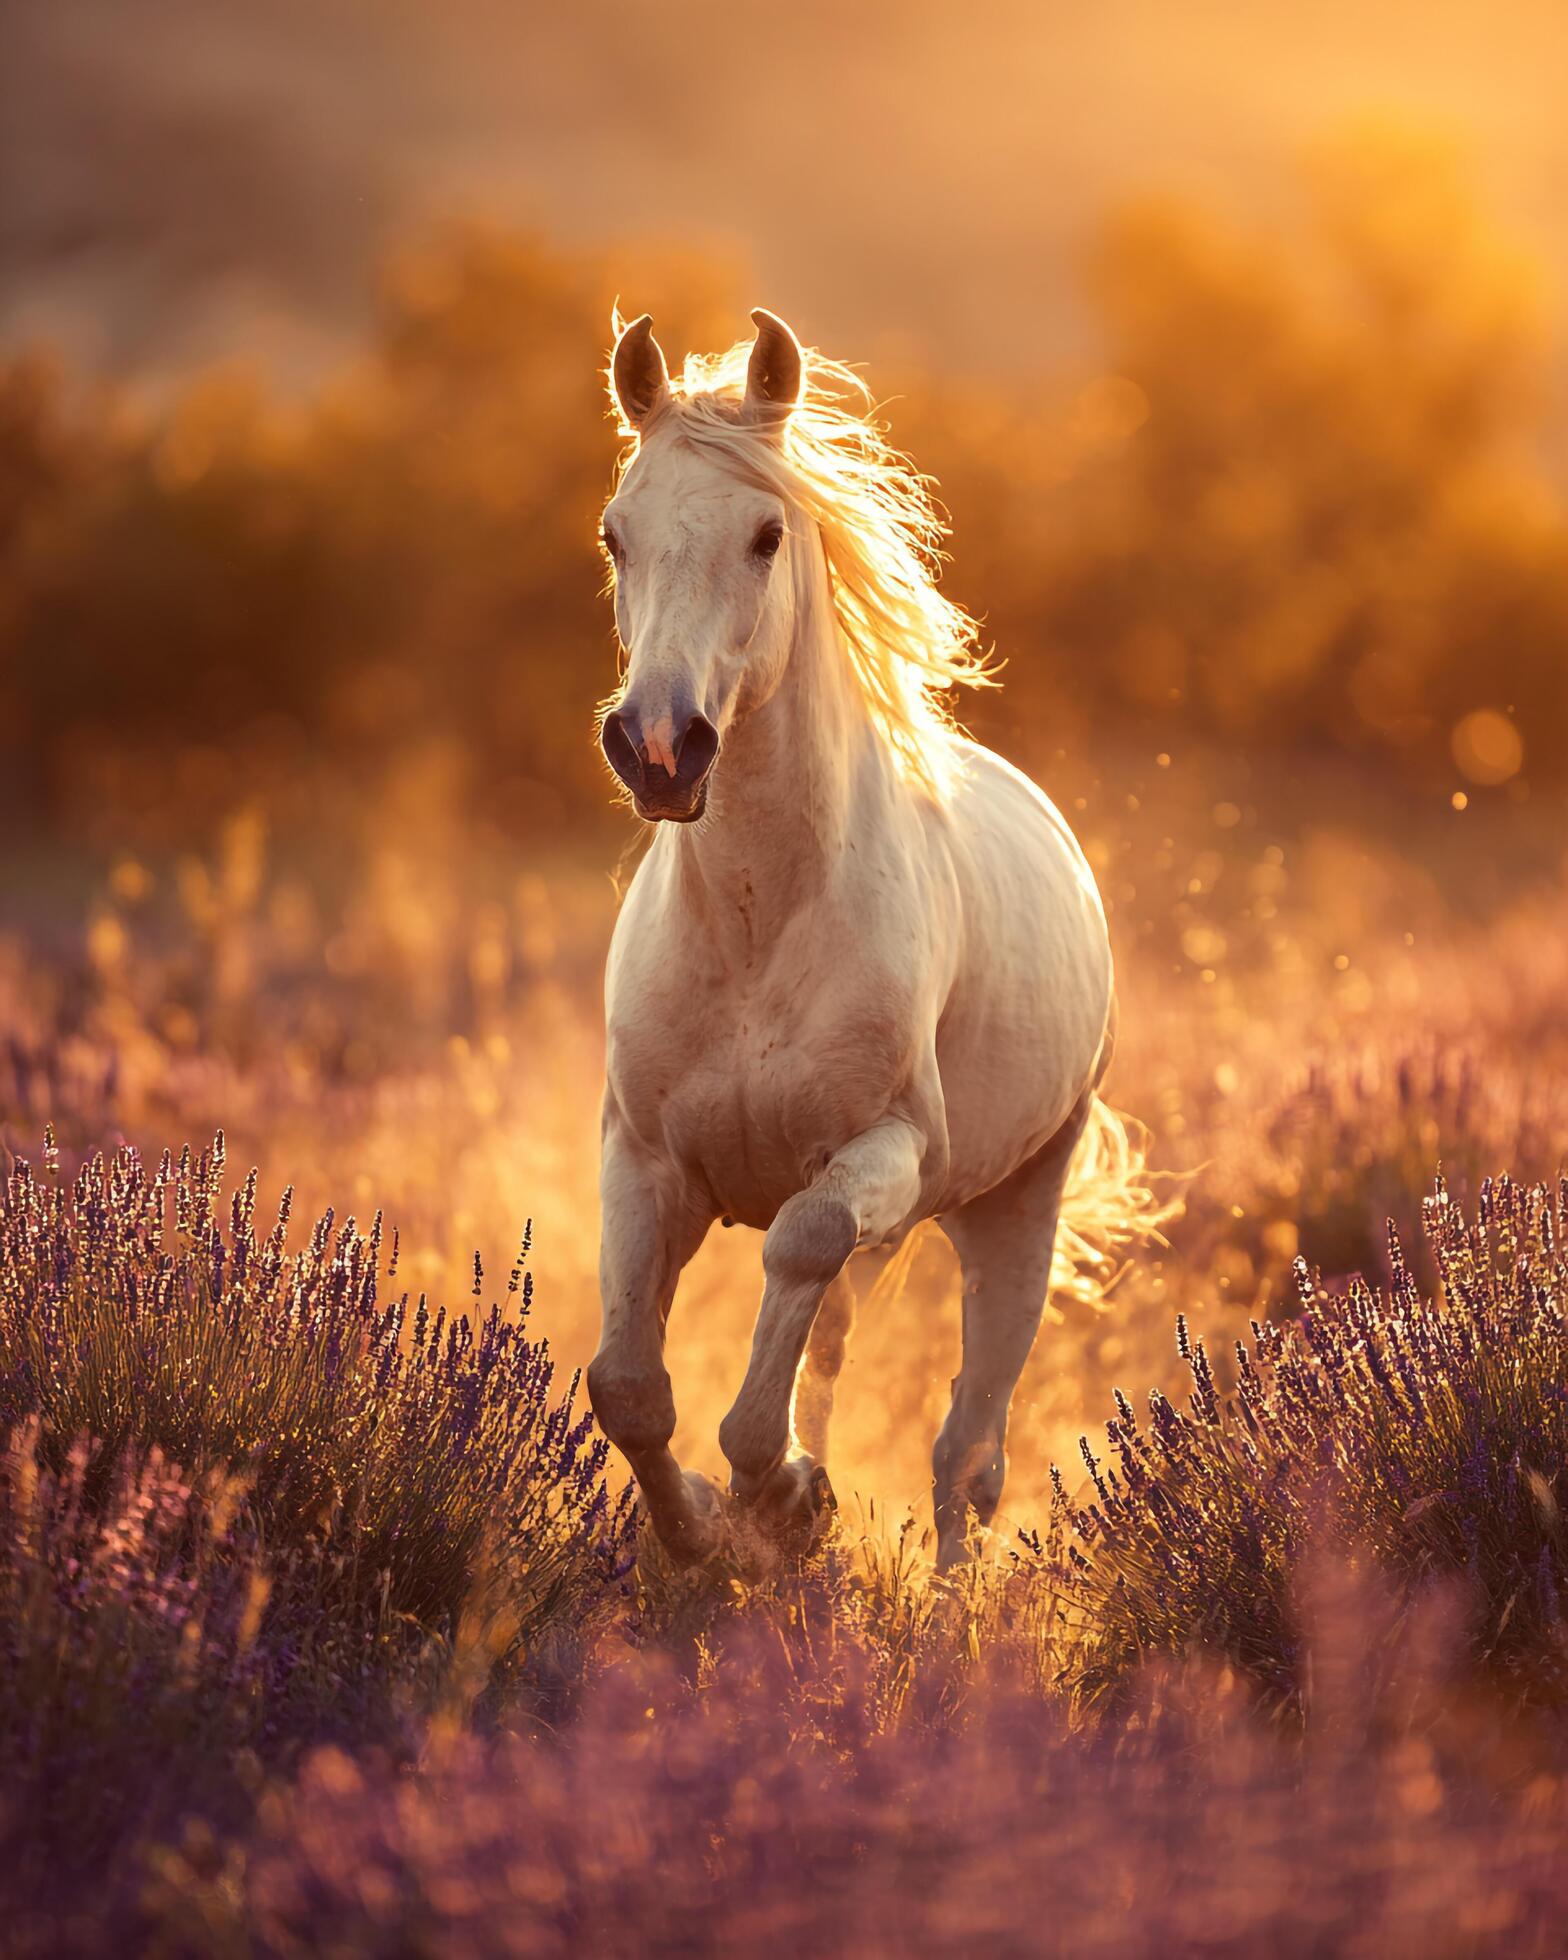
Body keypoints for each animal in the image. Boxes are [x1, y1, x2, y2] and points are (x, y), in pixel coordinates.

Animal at [586, 306, 1163, 1568]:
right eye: (615, 534)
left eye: (765, 533)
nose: (658, 746)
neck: (759, 926)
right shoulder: (643, 1160)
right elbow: (627, 1386)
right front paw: (699, 1533)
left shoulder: (886, 1148)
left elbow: (795, 1252)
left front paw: (774, 1493)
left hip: (1014, 1211)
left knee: (968, 1457)